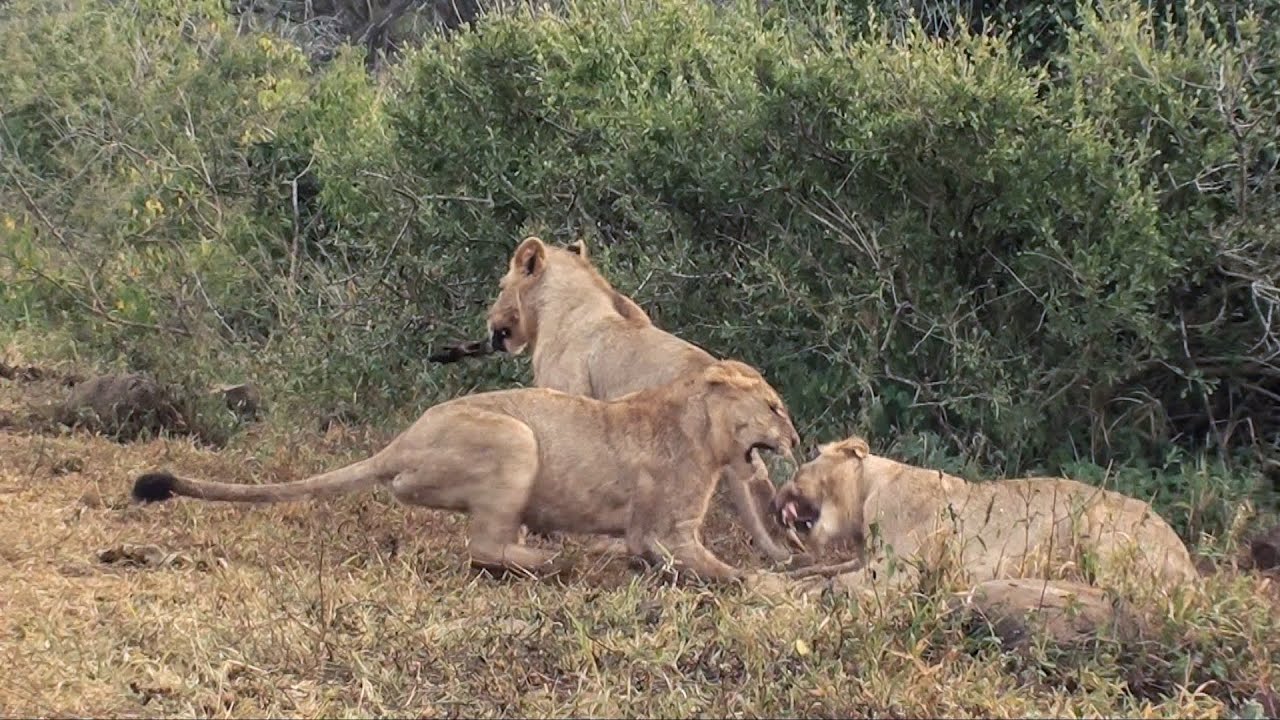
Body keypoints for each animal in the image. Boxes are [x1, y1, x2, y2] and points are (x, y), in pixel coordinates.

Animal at [130, 360, 800, 583]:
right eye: (773, 405)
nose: (795, 437)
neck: (704, 433)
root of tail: (401, 443)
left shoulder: (660, 537)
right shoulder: (667, 532)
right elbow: (734, 573)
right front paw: (771, 586)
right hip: (514, 440)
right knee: (483, 548)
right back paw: (554, 562)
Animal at [771, 435, 1199, 597]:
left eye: (801, 468)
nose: (776, 500)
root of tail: (1189, 564)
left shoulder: (898, 568)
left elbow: (837, 581)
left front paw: (800, 590)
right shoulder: (865, 556)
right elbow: (823, 569)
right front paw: (783, 576)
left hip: (1098, 524)